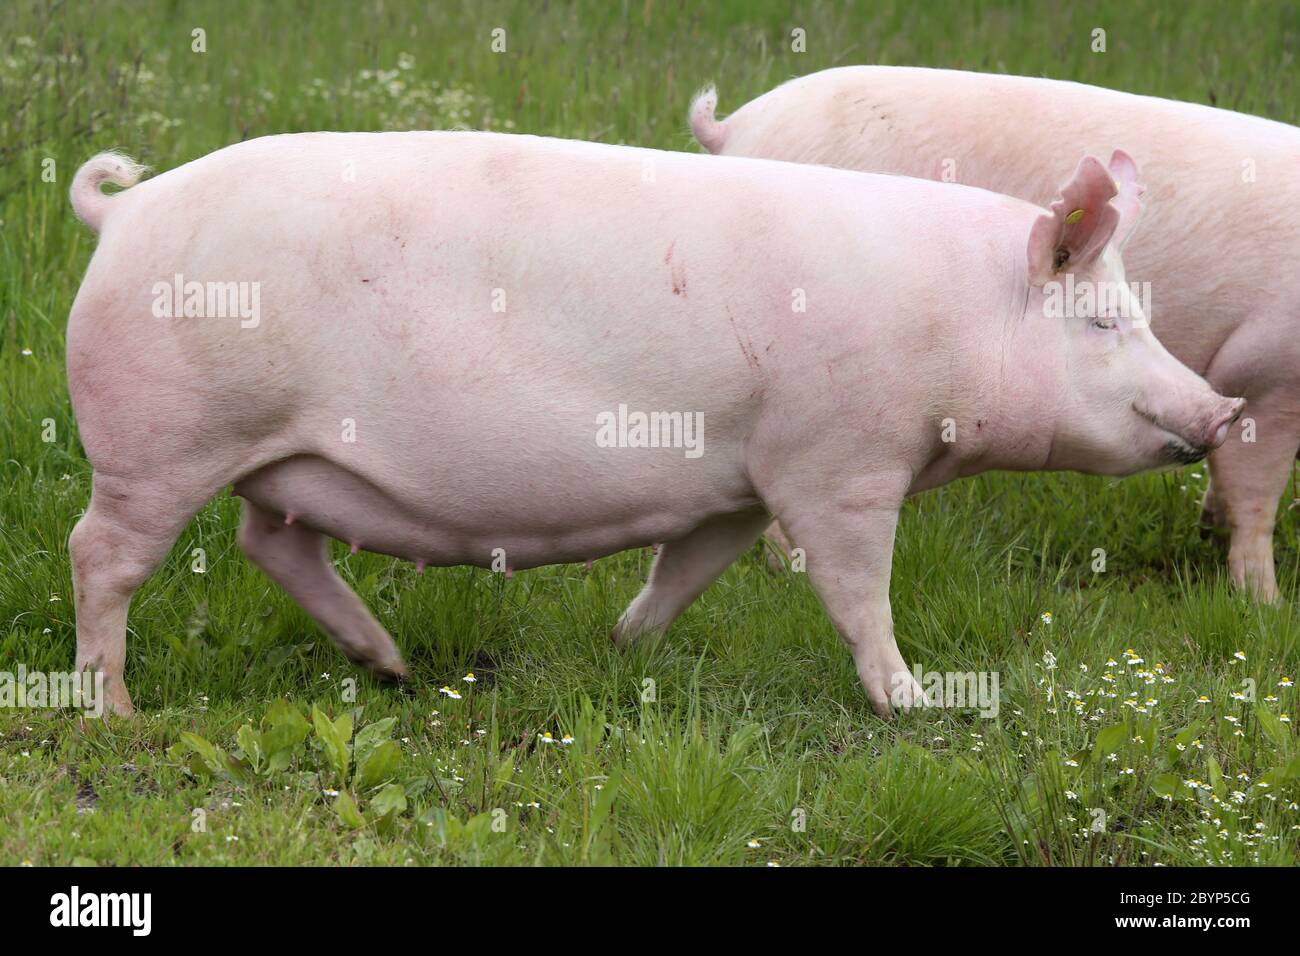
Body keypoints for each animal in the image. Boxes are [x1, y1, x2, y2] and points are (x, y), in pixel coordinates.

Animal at [66, 132, 1241, 717]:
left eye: (1139, 313)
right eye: (1102, 321)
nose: (1221, 409)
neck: (948, 321)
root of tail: (122, 212)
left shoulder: (742, 477)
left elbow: (684, 570)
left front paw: (621, 648)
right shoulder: (838, 462)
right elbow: (857, 591)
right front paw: (918, 704)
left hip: (278, 458)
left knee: (269, 542)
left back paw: (392, 667)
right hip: (160, 442)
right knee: (100, 553)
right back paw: (115, 710)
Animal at [690, 67, 1300, 600]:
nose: (1224, 408)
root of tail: (736, 125)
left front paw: (1215, 535)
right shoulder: (1266, 372)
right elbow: (1257, 495)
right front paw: (1264, 604)